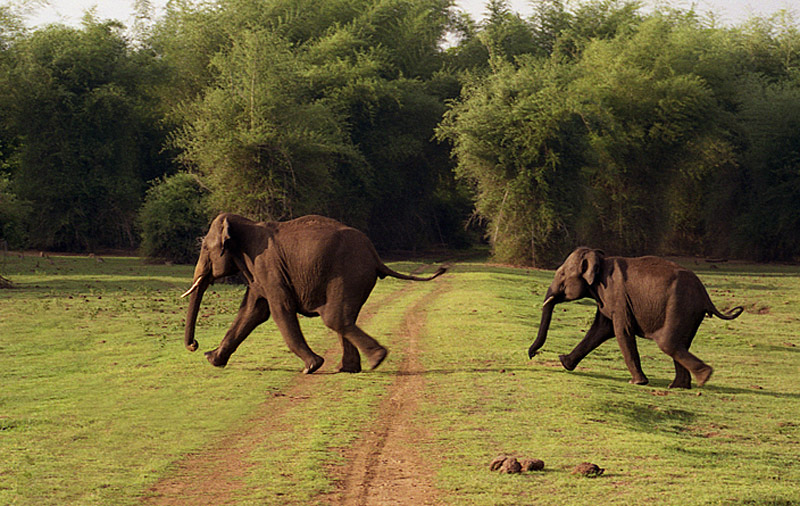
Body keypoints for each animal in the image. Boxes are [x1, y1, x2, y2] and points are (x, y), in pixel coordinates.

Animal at [181, 213, 446, 374]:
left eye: (205, 249)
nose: (194, 345)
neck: (245, 224)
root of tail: (375, 256)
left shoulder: (267, 266)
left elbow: (279, 309)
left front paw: (311, 367)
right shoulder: (256, 272)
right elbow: (252, 311)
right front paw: (212, 359)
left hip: (347, 273)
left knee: (335, 318)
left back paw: (376, 360)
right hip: (354, 277)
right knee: (344, 318)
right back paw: (350, 368)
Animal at [527, 247, 743, 388]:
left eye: (562, 274)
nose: (532, 354)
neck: (600, 258)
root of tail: (705, 295)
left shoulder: (617, 295)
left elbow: (620, 330)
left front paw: (637, 383)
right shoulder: (605, 298)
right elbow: (600, 329)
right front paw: (565, 363)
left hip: (681, 306)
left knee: (668, 343)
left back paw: (704, 378)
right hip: (690, 313)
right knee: (680, 344)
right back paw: (679, 386)